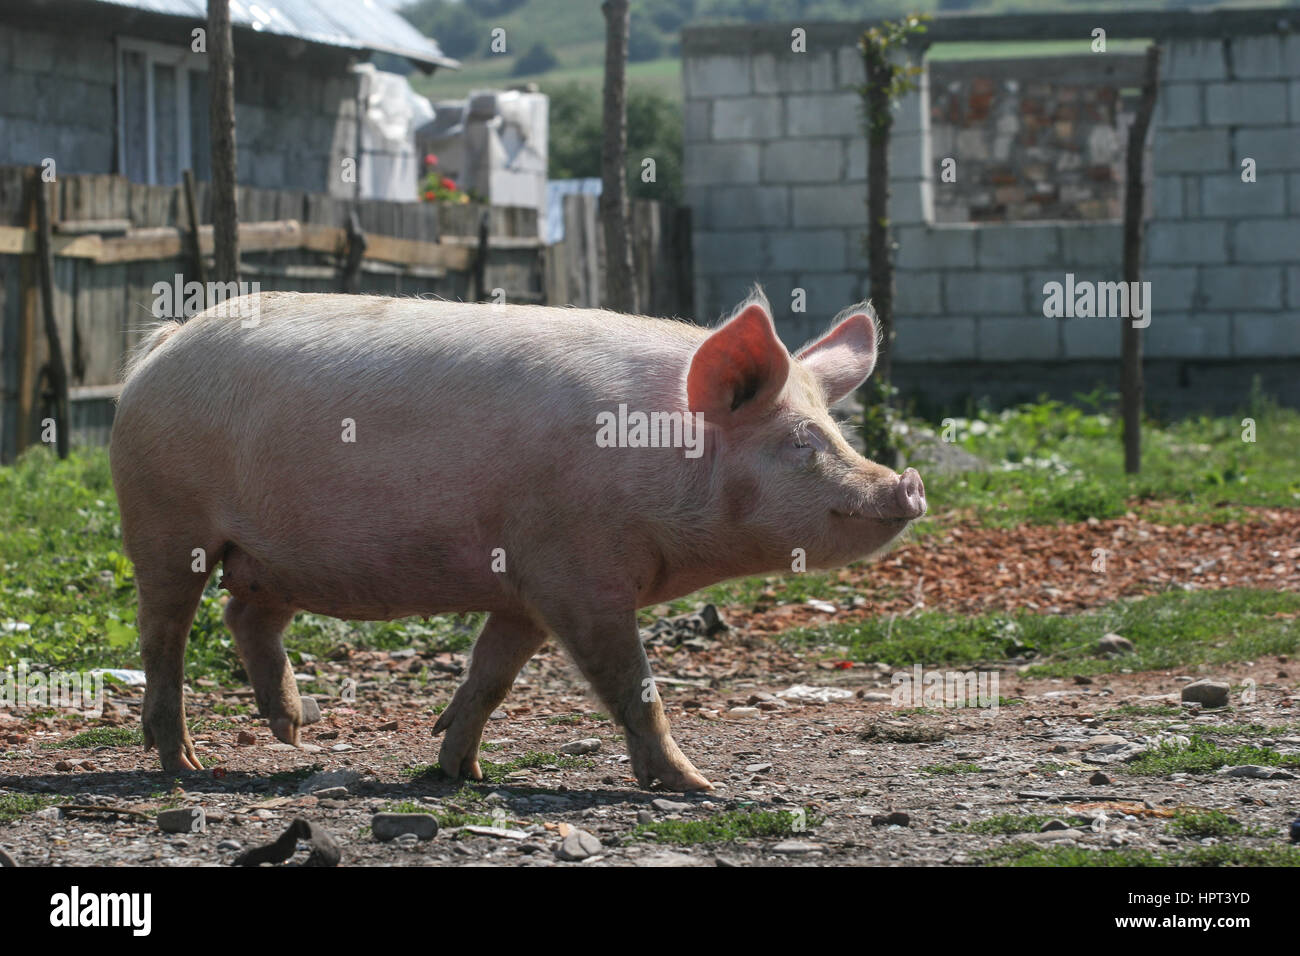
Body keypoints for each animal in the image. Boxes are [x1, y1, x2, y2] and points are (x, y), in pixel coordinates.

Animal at [110, 288, 925, 790]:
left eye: (836, 432)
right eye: (800, 444)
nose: (905, 484)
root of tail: (162, 344)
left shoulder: (526, 587)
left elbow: (492, 674)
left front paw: (458, 770)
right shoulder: (576, 573)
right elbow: (632, 683)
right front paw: (697, 785)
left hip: (275, 559)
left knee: (243, 613)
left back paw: (294, 734)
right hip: (164, 522)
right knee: (164, 634)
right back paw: (185, 765)